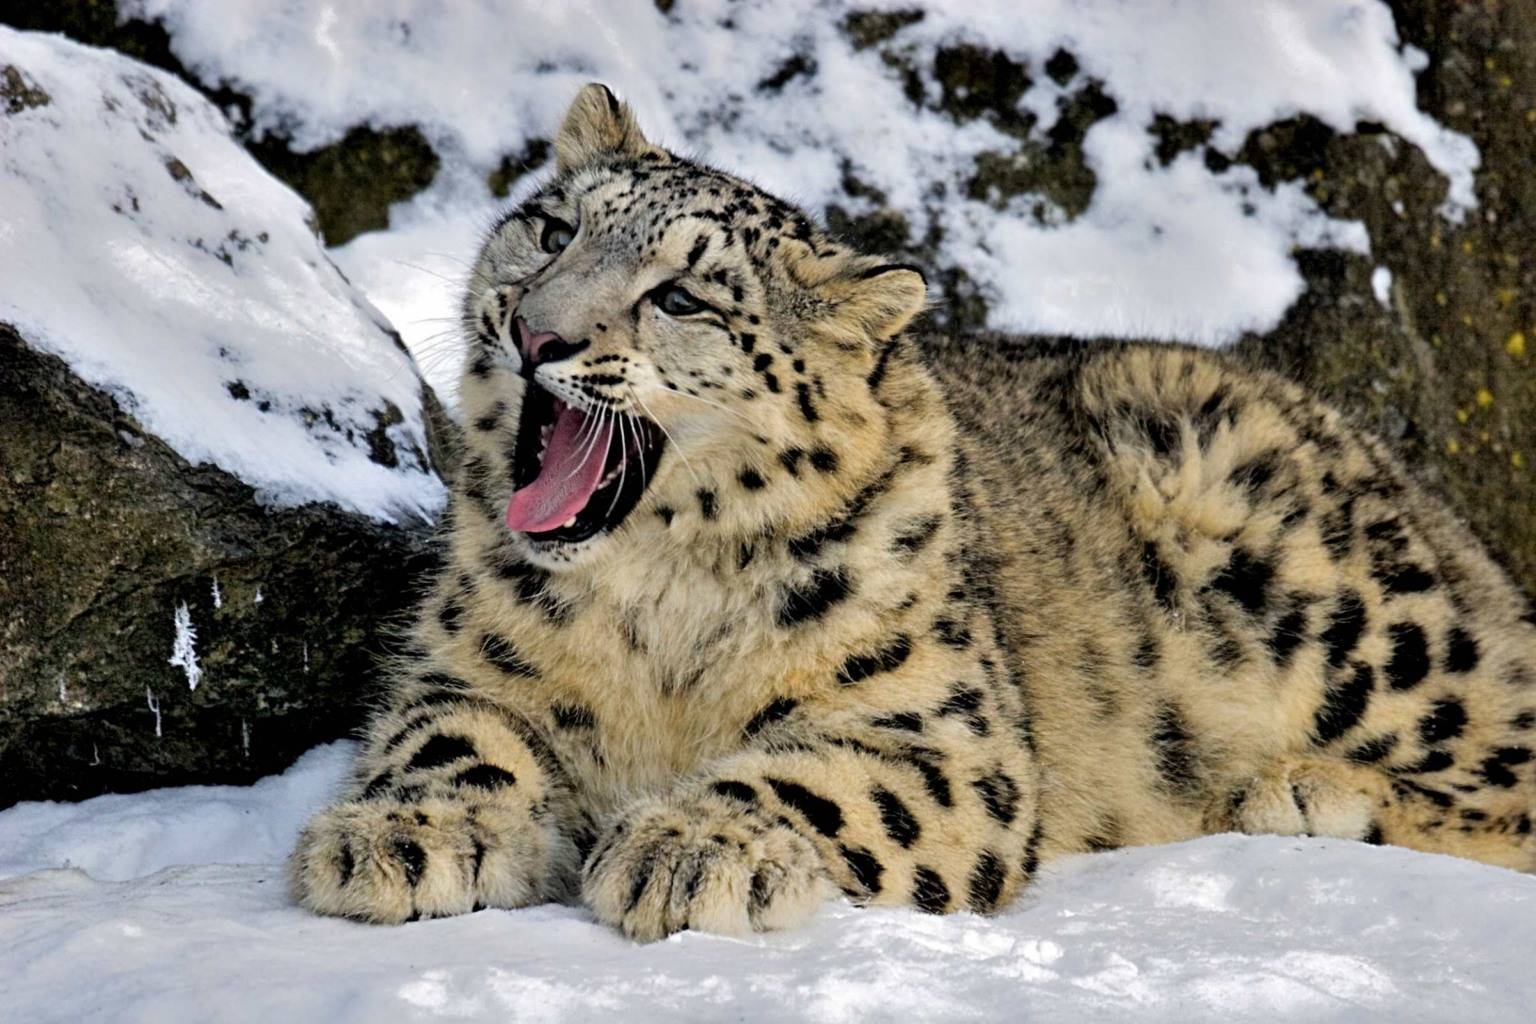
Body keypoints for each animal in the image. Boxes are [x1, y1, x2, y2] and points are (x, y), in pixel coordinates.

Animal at [291, 83, 1536, 940]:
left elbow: (808, 775)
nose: (535, 329)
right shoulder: (466, 667)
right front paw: (399, 837)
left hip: (1349, 613)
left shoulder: (939, 734)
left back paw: (1303, 788)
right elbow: (448, 737)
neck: (658, 609)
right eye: (553, 231)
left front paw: (689, 846)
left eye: (682, 297)